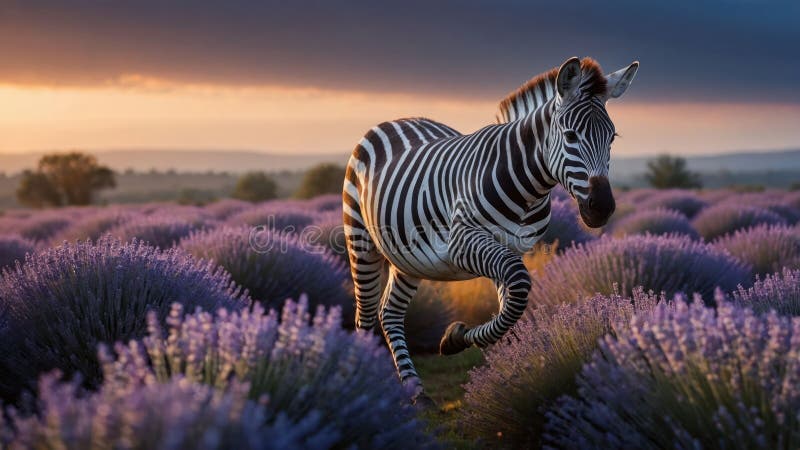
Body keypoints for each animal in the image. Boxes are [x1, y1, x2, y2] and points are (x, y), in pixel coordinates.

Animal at [342, 57, 638, 405]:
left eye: (612, 138)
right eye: (570, 136)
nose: (601, 207)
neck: (528, 187)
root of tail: (394, 120)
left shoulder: (510, 248)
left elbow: (512, 304)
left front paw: (458, 341)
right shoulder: (461, 242)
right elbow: (519, 287)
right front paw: (456, 337)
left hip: (408, 258)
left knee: (389, 312)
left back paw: (416, 390)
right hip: (360, 241)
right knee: (365, 314)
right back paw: (365, 384)